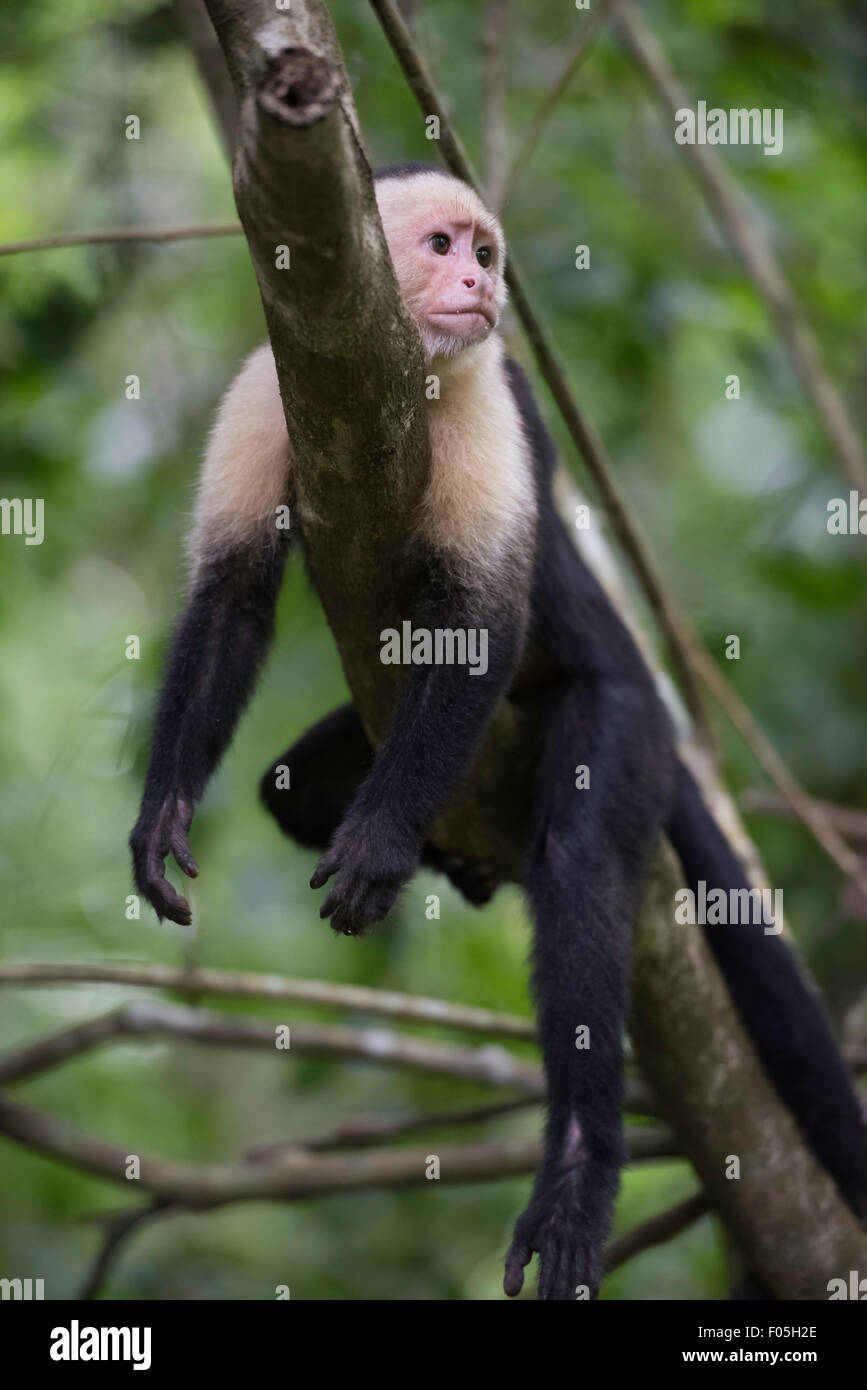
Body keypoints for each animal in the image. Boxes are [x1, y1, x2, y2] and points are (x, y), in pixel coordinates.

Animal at [130, 162, 867, 1300]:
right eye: (443, 247)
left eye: (484, 253)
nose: (480, 285)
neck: (375, 376)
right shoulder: (265, 385)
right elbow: (233, 601)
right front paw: (162, 814)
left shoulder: (490, 393)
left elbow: (481, 621)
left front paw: (384, 840)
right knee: (292, 787)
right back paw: (462, 865)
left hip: (625, 714)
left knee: (581, 874)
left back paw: (574, 1170)